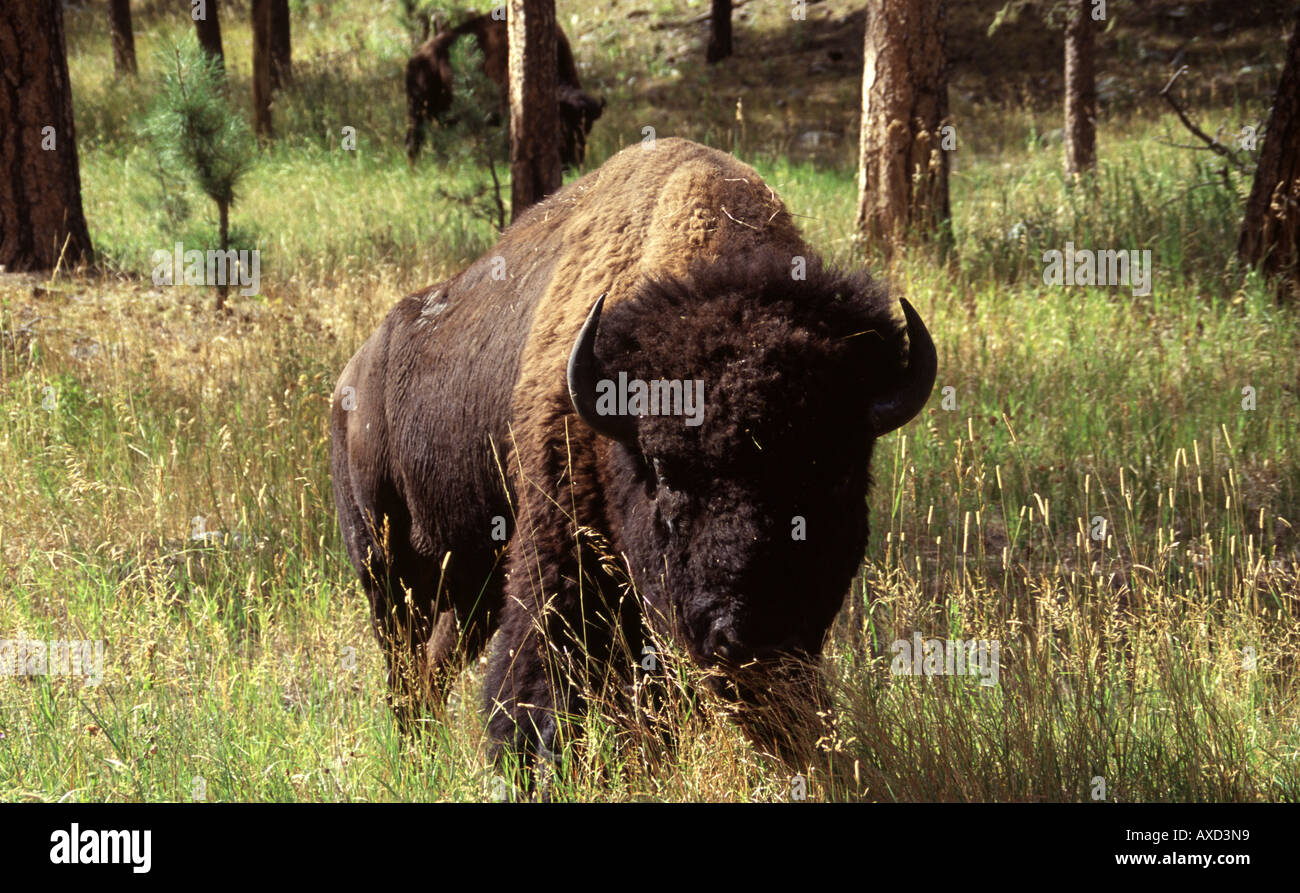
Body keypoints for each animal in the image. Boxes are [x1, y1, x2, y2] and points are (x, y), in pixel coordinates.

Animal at [331, 138, 936, 778]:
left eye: (836, 473)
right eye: (664, 471)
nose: (747, 637)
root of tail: (348, 383)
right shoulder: (558, 541)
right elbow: (542, 662)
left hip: (469, 588)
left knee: (436, 661)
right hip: (385, 572)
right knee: (405, 665)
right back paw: (411, 752)